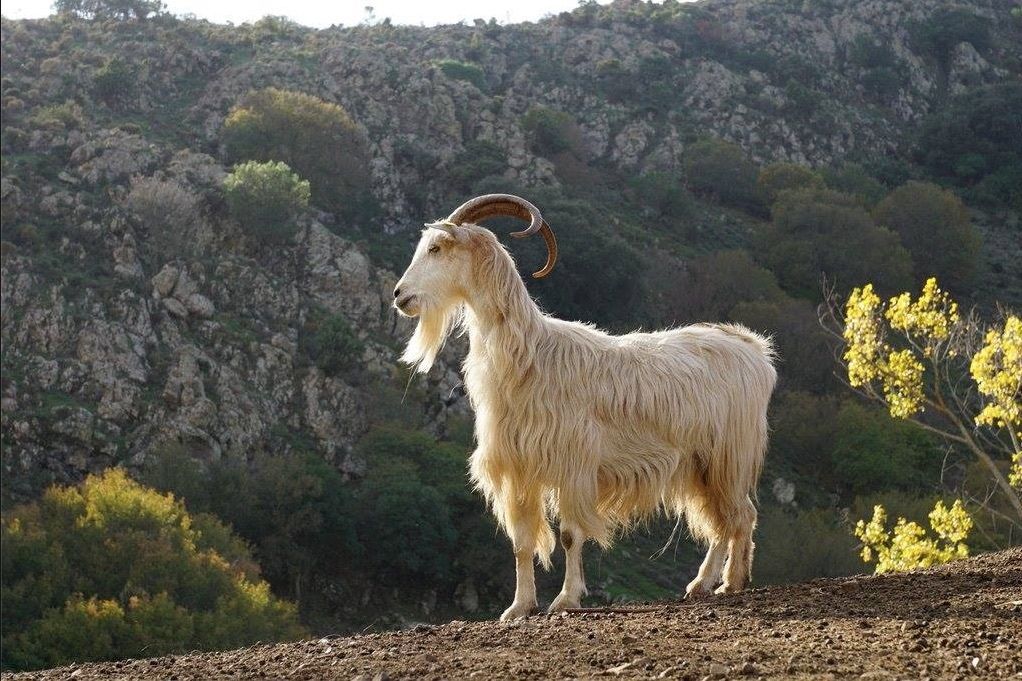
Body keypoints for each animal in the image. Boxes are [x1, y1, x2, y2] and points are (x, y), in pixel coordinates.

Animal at [393, 194, 777, 621]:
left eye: (436, 248)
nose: (399, 295)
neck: (531, 357)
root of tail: (754, 350)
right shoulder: (519, 468)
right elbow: (522, 541)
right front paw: (519, 606)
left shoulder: (573, 464)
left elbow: (570, 535)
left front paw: (566, 599)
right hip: (700, 464)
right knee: (723, 519)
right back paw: (711, 583)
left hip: (729, 456)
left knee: (739, 515)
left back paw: (728, 582)